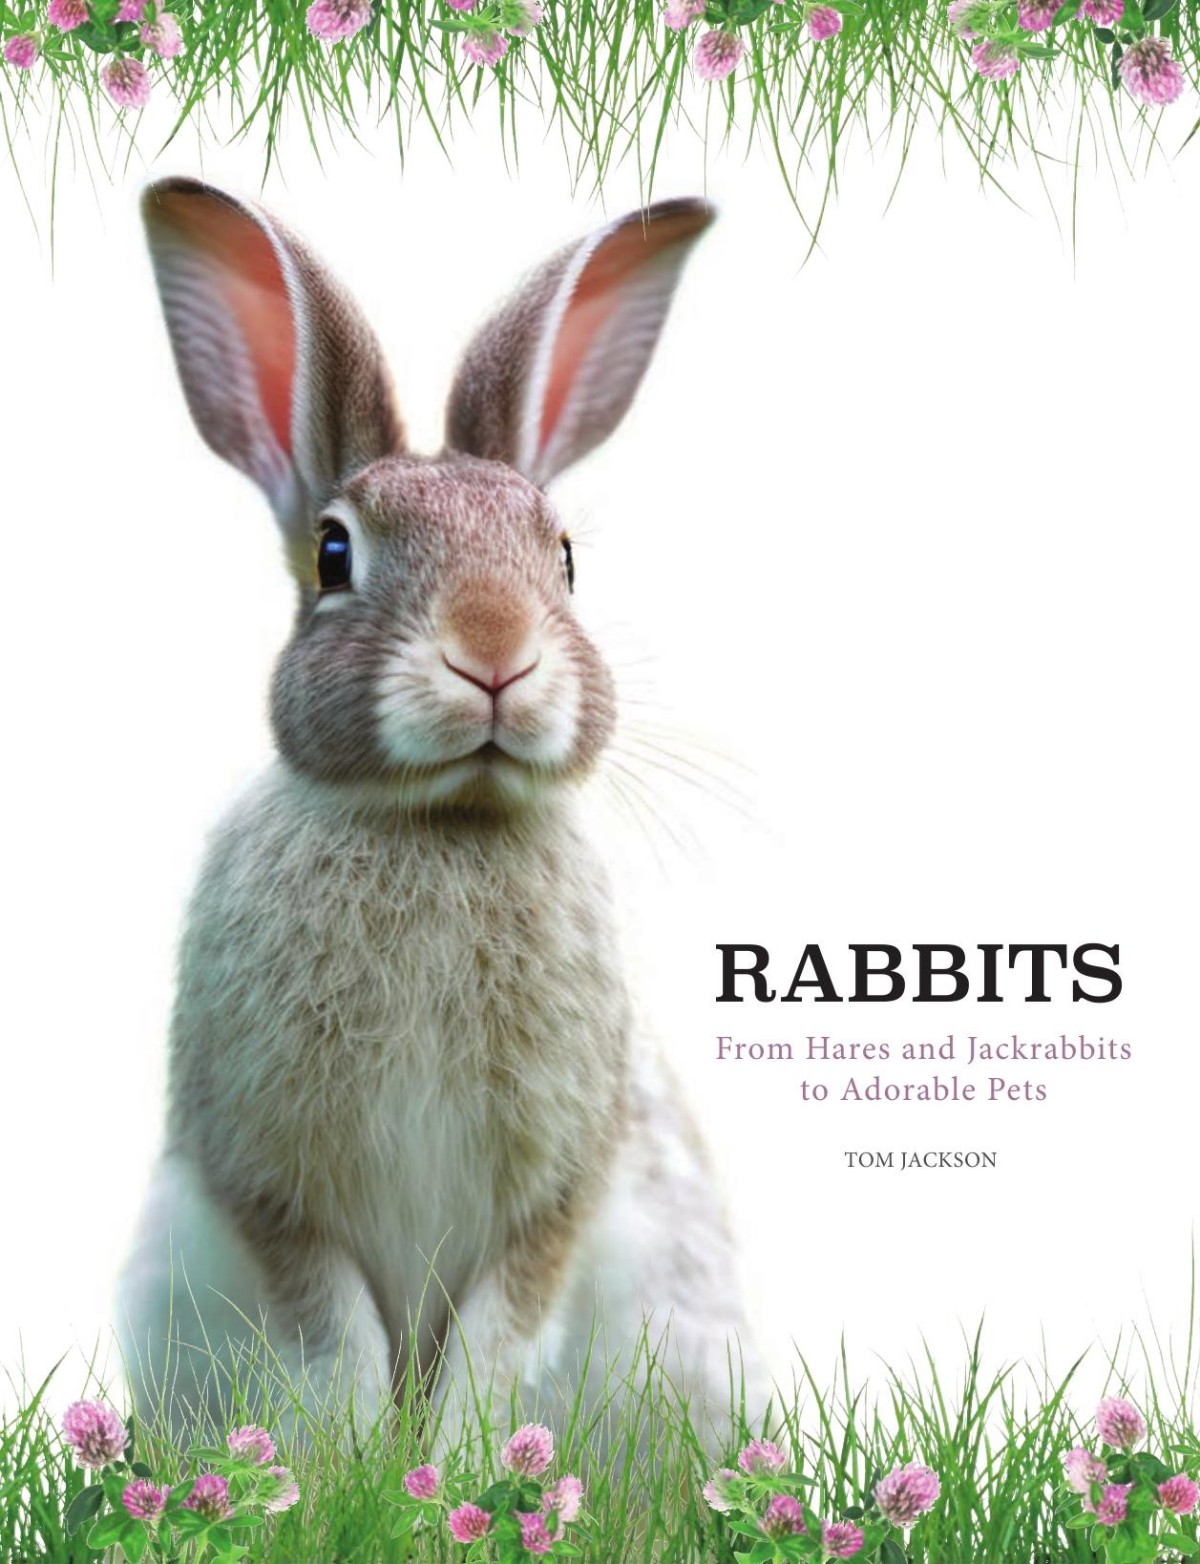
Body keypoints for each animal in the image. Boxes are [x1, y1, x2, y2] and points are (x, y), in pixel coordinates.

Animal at [116, 177, 761, 1444]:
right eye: (332, 552)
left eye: (564, 558)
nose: (495, 653)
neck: (441, 823)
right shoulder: (269, 1185)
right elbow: (335, 1338)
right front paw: (364, 1461)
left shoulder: (558, 1190)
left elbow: (500, 1335)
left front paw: (457, 1463)